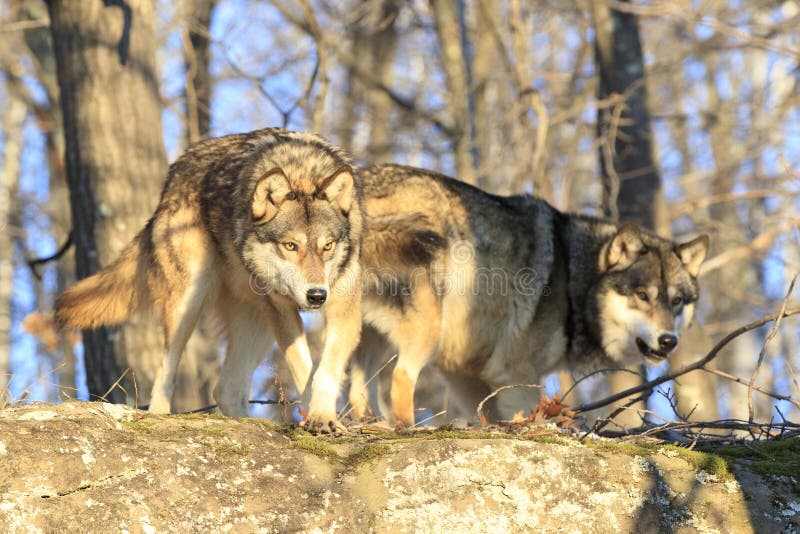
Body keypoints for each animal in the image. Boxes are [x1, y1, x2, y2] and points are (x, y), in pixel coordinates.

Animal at [55, 128, 363, 432]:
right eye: (290, 246)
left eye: (328, 246)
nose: (316, 296)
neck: (301, 170)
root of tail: (172, 175)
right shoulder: (283, 310)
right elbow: (306, 369)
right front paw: (318, 418)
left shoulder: (344, 309)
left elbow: (324, 371)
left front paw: (322, 417)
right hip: (190, 304)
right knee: (165, 375)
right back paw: (160, 416)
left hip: (259, 323)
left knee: (225, 389)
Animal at [349, 164, 708, 427]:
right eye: (642, 295)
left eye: (677, 301)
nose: (668, 341)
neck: (573, 278)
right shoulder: (516, 375)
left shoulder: (467, 375)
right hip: (425, 331)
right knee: (401, 378)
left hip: (369, 338)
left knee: (356, 390)